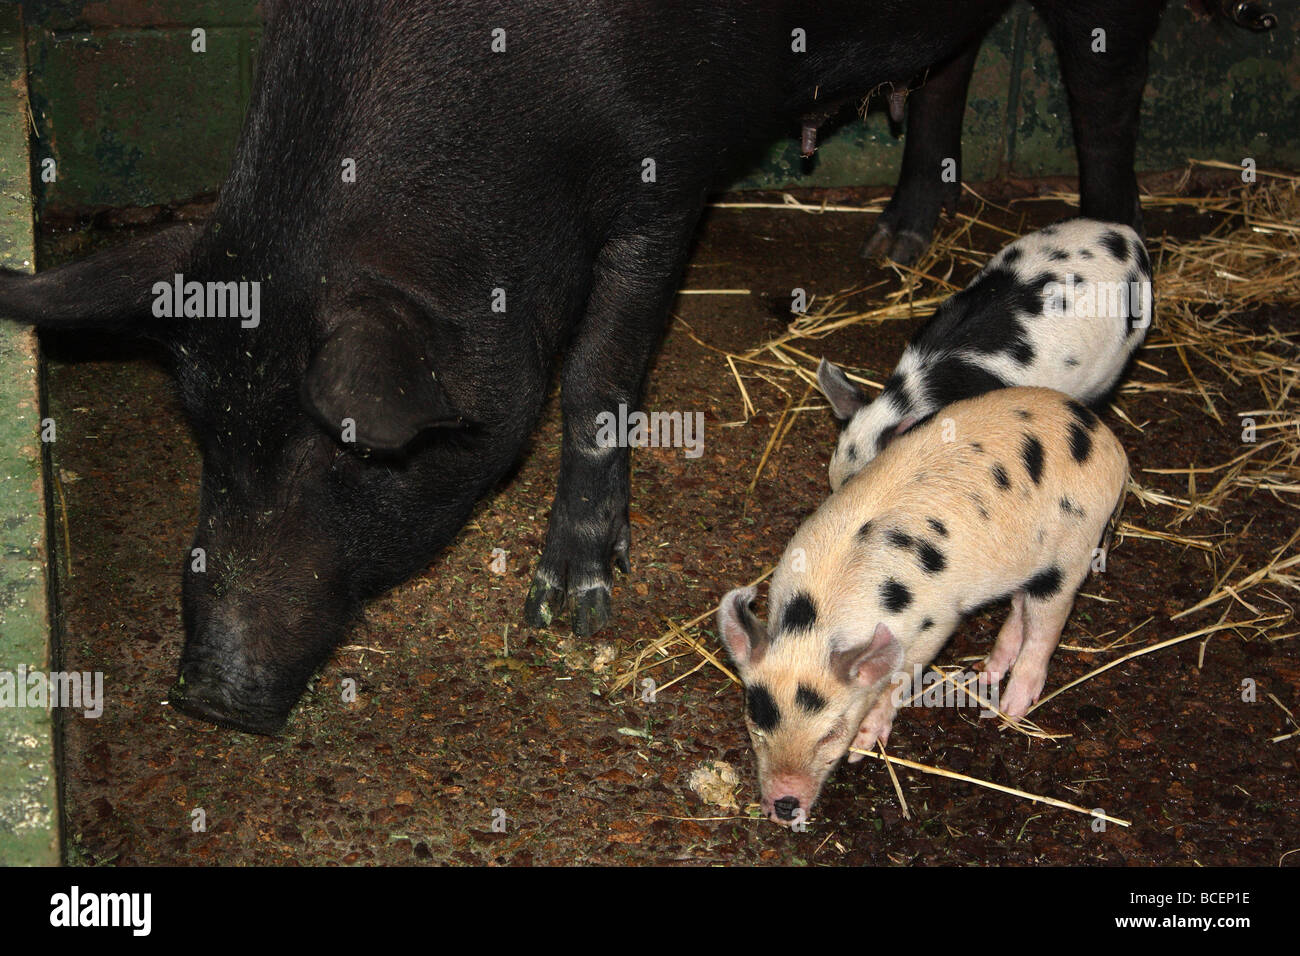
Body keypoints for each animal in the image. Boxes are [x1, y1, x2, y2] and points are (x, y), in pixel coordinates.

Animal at [718, 387, 1128, 824]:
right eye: (757, 724)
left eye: (831, 732)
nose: (784, 806)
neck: (815, 624)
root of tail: (1108, 441)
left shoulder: (935, 626)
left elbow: (900, 680)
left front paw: (862, 747)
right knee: (1021, 606)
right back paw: (987, 672)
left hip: (1074, 548)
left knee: (1049, 623)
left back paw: (1011, 709)